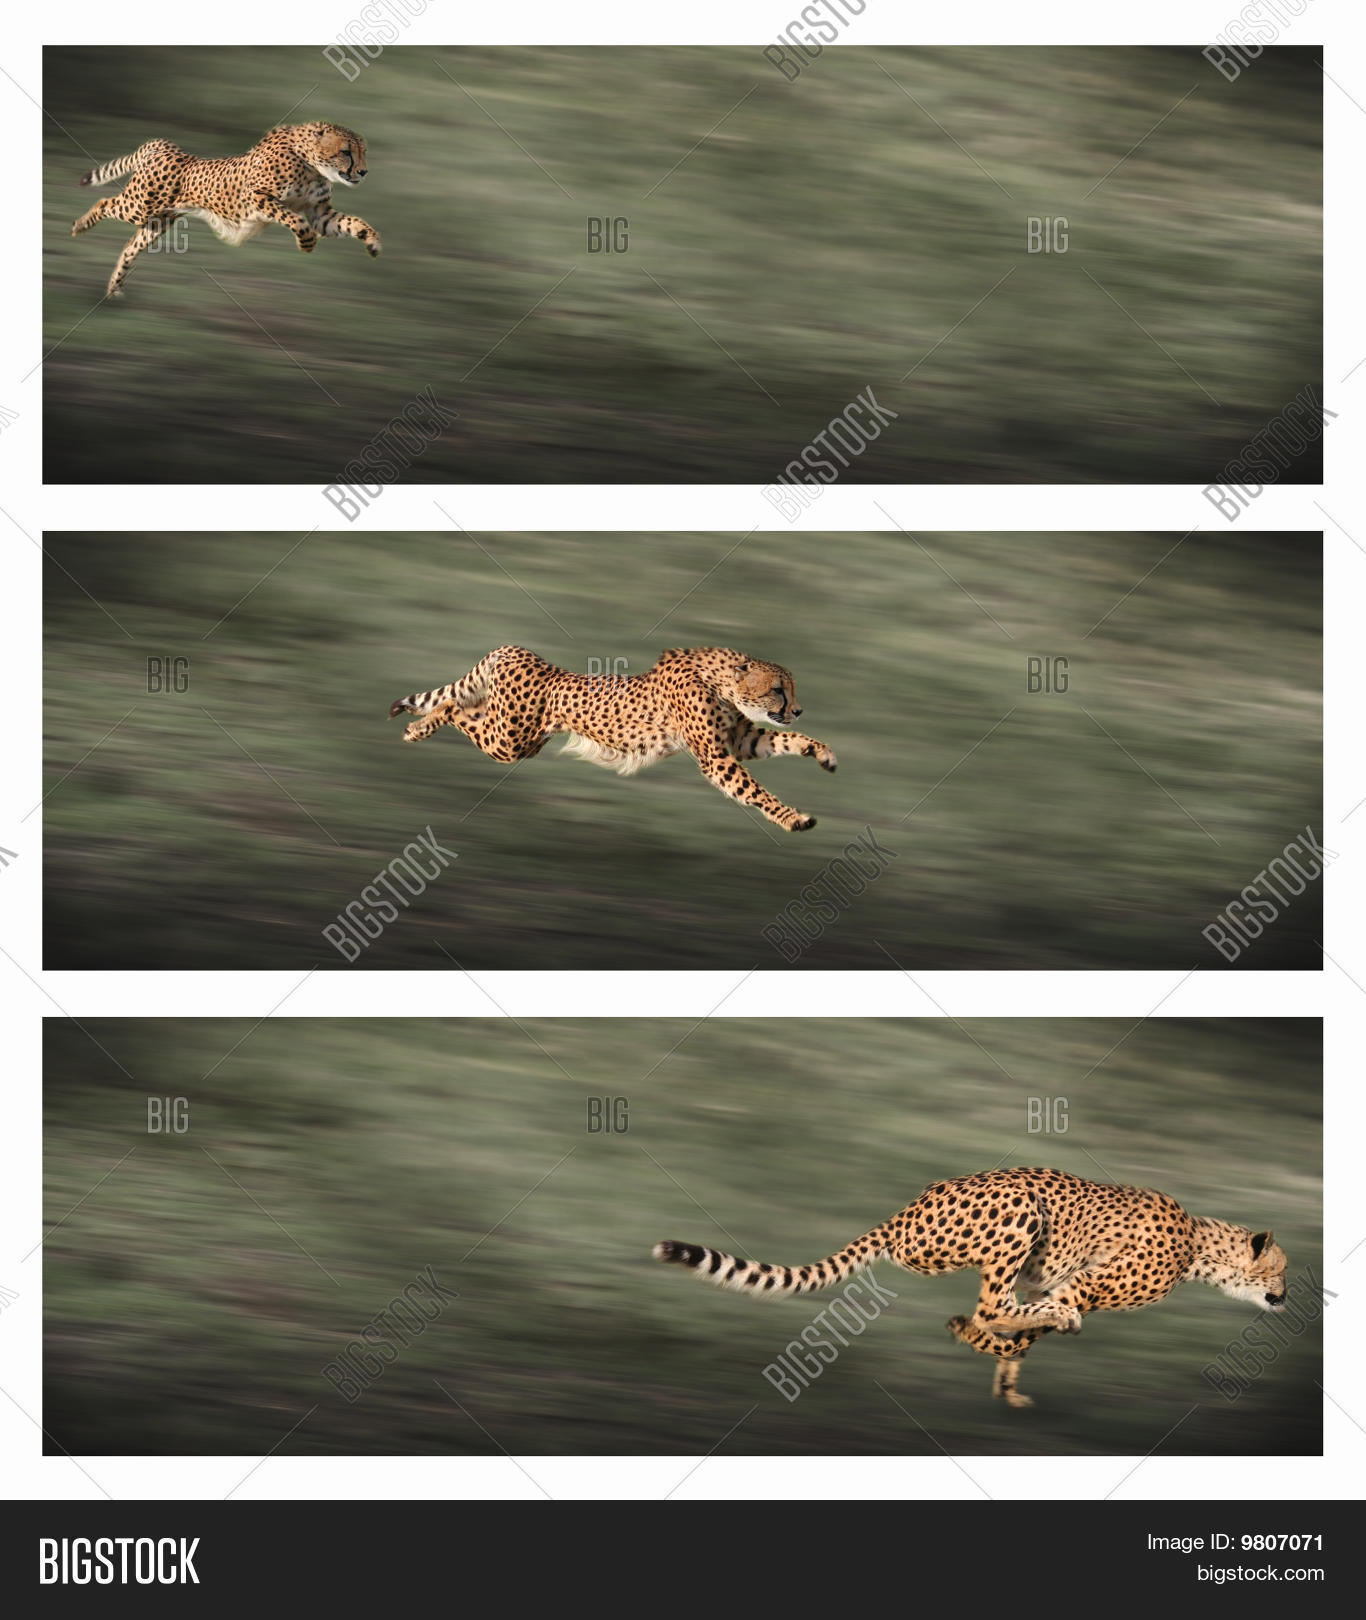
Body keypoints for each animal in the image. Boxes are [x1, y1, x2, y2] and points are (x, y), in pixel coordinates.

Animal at [71, 121, 380, 298]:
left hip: (158, 221)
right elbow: (294, 219)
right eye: (346, 152)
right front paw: (306, 243)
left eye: (363, 151)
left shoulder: (320, 214)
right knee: (104, 202)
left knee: (129, 248)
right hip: (138, 205)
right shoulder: (256, 197)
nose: (363, 172)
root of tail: (164, 145)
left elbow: (352, 222)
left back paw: (114, 286)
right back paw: (80, 226)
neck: (312, 165)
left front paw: (372, 241)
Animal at [388, 644, 837, 831]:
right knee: (452, 706)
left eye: (790, 689)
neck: (723, 681)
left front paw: (822, 753)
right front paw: (793, 819)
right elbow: (757, 791)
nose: (798, 709)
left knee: (462, 706)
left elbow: (786, 740)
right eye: (778, 689)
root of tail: (516, 650)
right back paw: (418, 728)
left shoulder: (739, 742)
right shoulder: (716, 757)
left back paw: (418, 726)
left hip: (516, 734)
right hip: (509, 741)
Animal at [653, 1166, 1289, 1408]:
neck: (1202, 1244)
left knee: (998, 1306)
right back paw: (971, 1324)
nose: (1285, 1295)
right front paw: (995, 1349)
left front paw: (1007, 1382)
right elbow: (1036, 1320)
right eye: (1281, 1270)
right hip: (1021, 1210)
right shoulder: (1085, 1281)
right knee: (989, 1305)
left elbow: (1028, 1331)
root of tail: (907, 1210)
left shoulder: (1058, 1284)